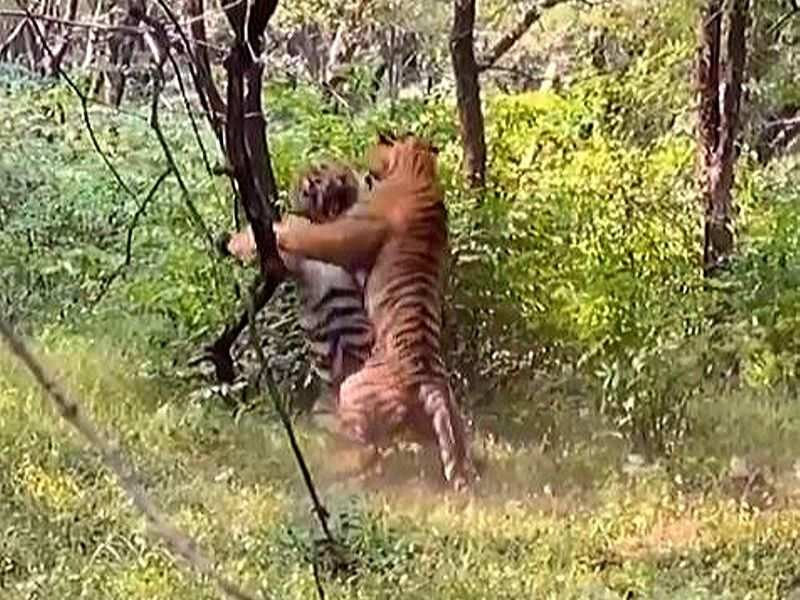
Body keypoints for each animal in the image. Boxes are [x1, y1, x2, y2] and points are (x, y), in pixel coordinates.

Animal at [273, 132, 476, 491]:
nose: (356, 174)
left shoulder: (346, 232)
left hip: (354, 388)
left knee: (362, 440)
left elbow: (307, 235)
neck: (419, 170)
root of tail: (428, 381)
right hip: (448, 414)